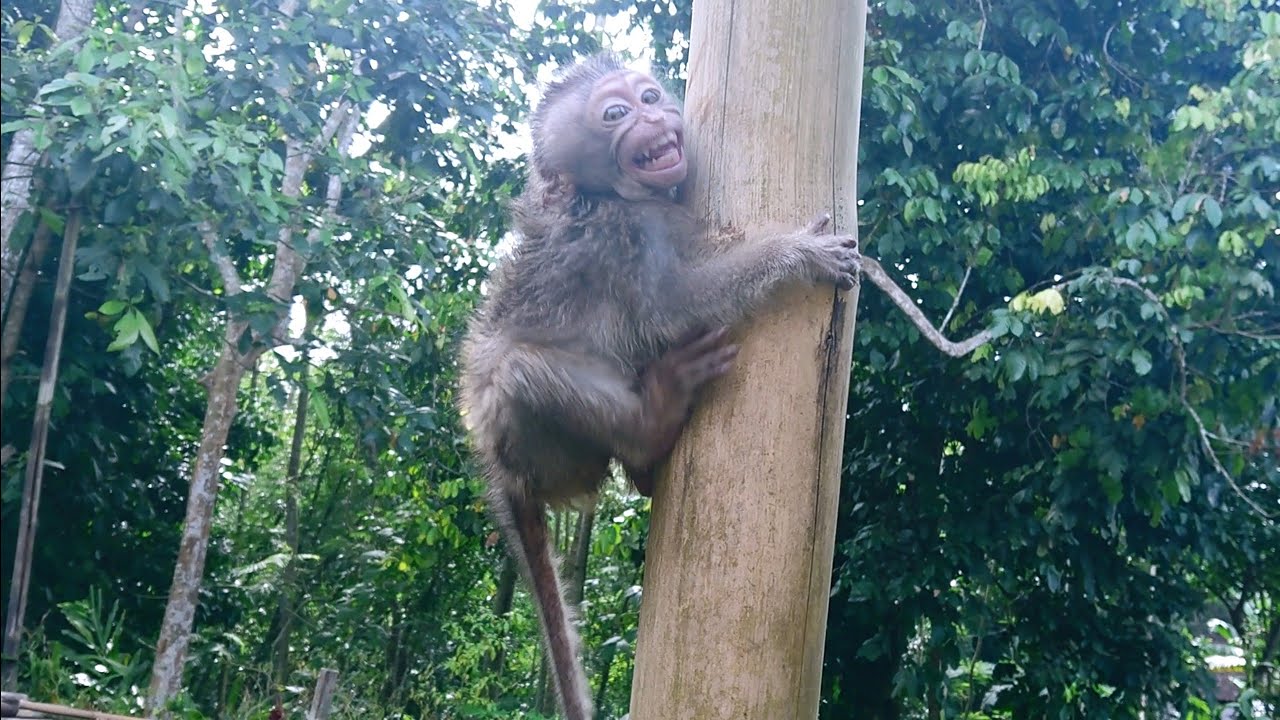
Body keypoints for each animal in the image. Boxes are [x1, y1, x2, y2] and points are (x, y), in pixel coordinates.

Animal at [458, 53, 860, 720]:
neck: (604, 195)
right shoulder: (630, 230)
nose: (651, 117)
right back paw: (651, 427)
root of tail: (500, 467)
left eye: (648, 98)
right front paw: (795, 253)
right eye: (616, 114)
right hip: (539, 444)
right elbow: (668, 307)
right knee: (514, 373)